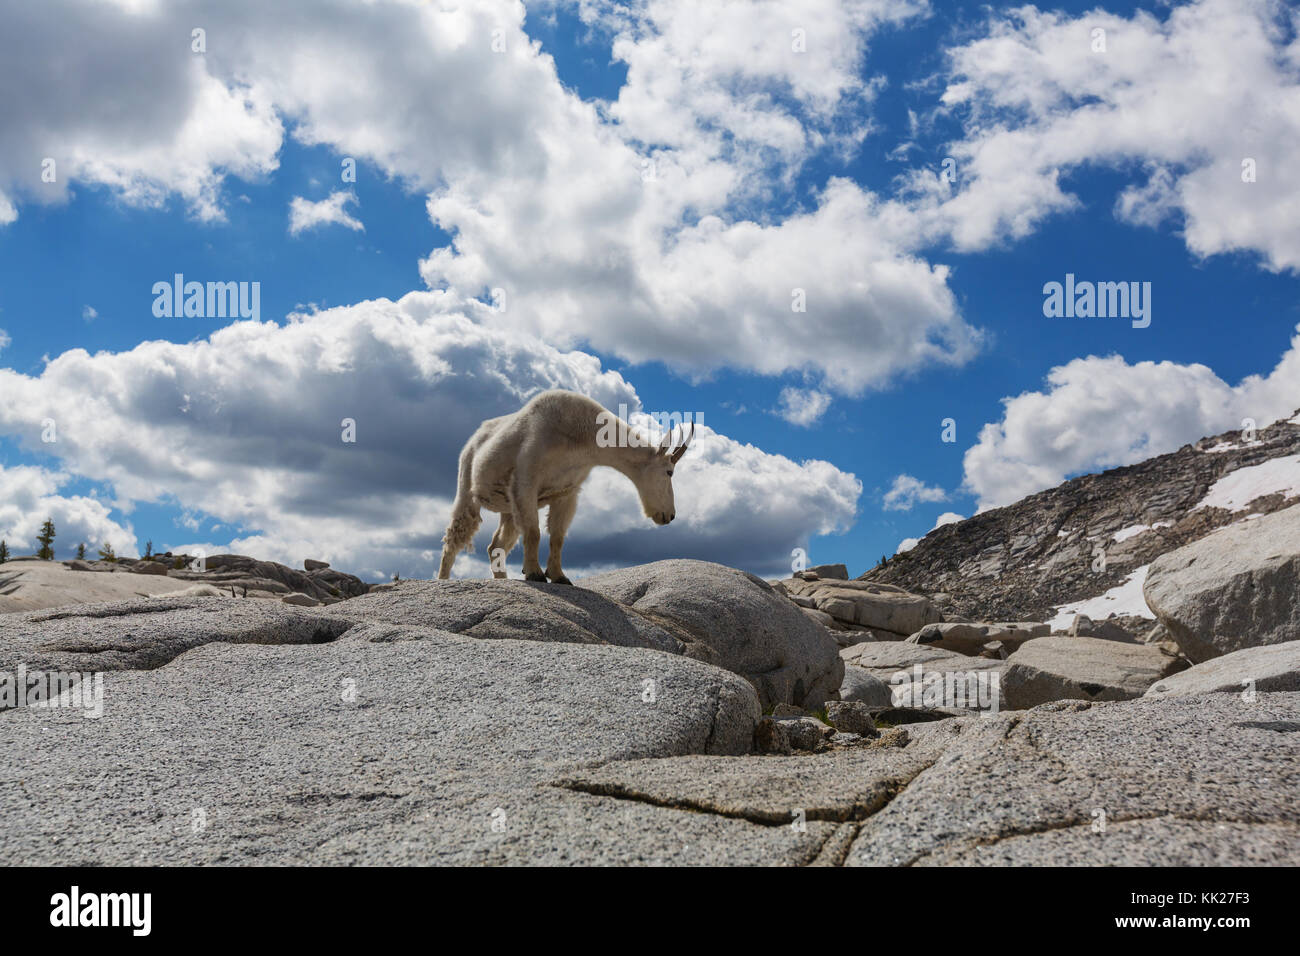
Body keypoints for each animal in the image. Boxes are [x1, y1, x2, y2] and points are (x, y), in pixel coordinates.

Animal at [437, 390, 694, 584]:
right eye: (669, 472)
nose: (669, 515)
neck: (582, 436)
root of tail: (472, 441)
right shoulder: (526, 482)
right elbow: (534, 532)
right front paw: (534, 574)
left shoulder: (567, 492)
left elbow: (557, 536)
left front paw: (559, 576)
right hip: (466, 491)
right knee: (453, 538)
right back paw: (442, 579)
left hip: (508, 509)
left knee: (496, 546)